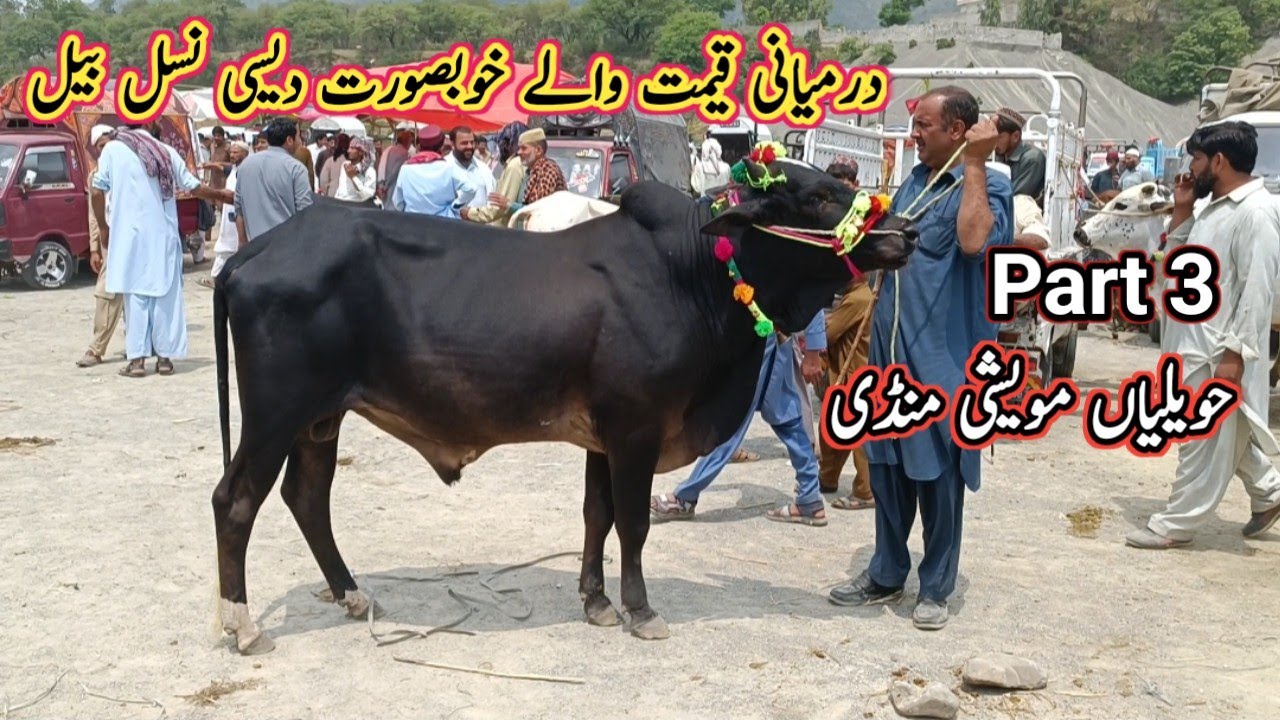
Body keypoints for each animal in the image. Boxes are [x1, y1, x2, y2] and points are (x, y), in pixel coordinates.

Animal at [210, 156, 920, 655]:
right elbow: (631, 524)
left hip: (318, 419)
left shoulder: (603, 437)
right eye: (818, 197)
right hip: (275, 414)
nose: (906, 230)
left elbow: (595, 517)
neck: (693, 272)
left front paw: (596, 602)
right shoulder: (636, 430)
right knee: (235, 500)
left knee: (306, 497)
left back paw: (353, 596)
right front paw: (641, 611)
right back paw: (242, 625)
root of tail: (255, 250)